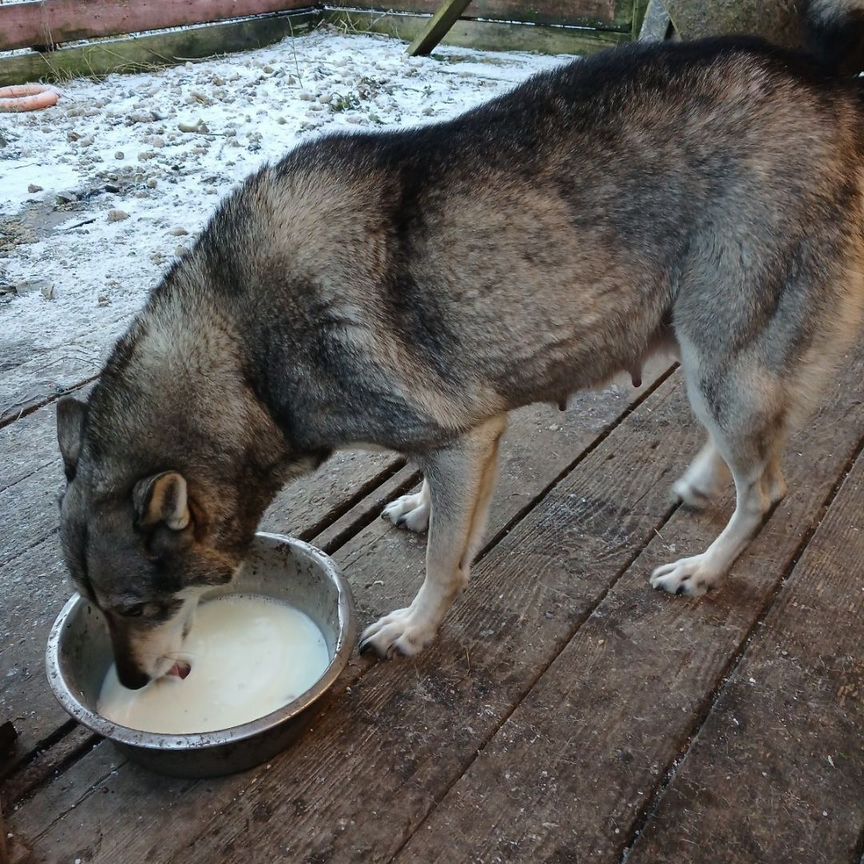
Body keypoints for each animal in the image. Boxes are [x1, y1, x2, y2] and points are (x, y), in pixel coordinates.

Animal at [55, 22, 864, 688]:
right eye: (96, 604)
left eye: (140, 605)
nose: (131, 683)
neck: (244, 351)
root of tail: (829, 87)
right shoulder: (464, 441)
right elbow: (444, 508)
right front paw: (419, 506)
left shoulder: (466, 437)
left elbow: (446, 562)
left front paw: (415, 630)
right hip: (718, 363)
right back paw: (701, 483)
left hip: (722, 360)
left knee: (766, 487)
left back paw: (705, 568)